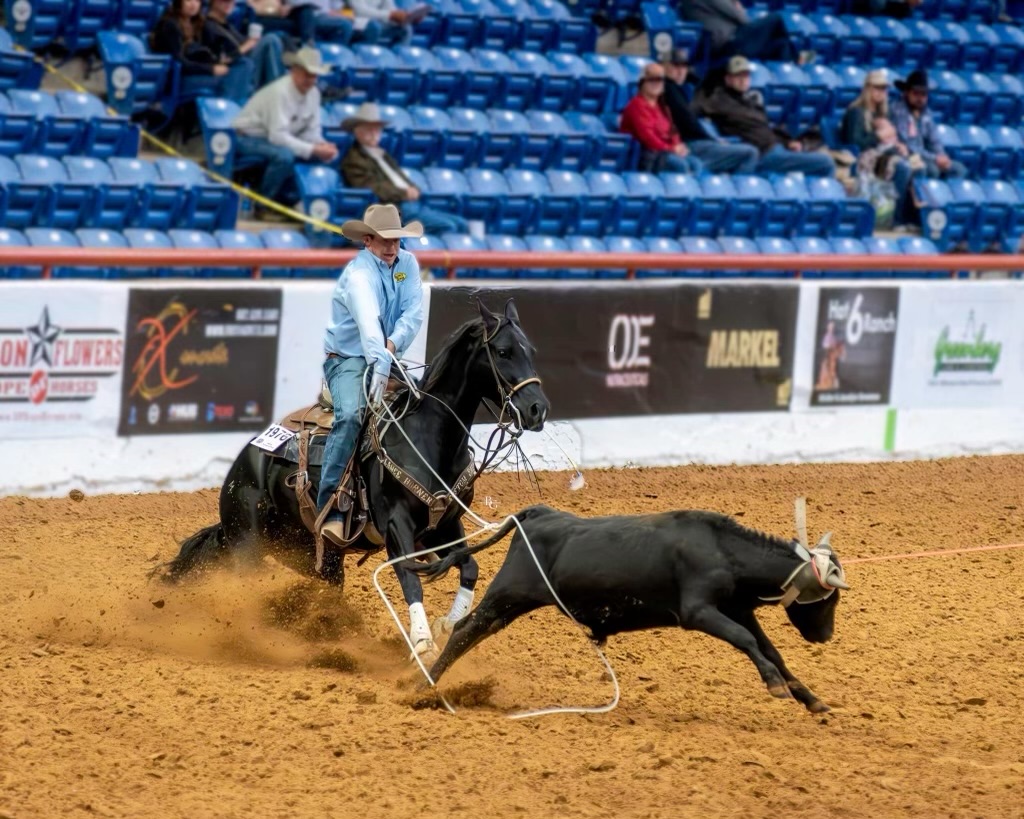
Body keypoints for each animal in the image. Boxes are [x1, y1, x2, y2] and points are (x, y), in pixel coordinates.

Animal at [157, 299, 551, 662]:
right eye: (503, 351)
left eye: (531, 351)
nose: (537, 409)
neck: (428, 437)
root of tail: (243, 462)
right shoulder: (396, 525)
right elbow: (410, 578)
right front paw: (422, 643)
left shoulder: (444, 524)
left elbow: (469, 566)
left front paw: (446, 624)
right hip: (249, 544)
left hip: (311, 552)